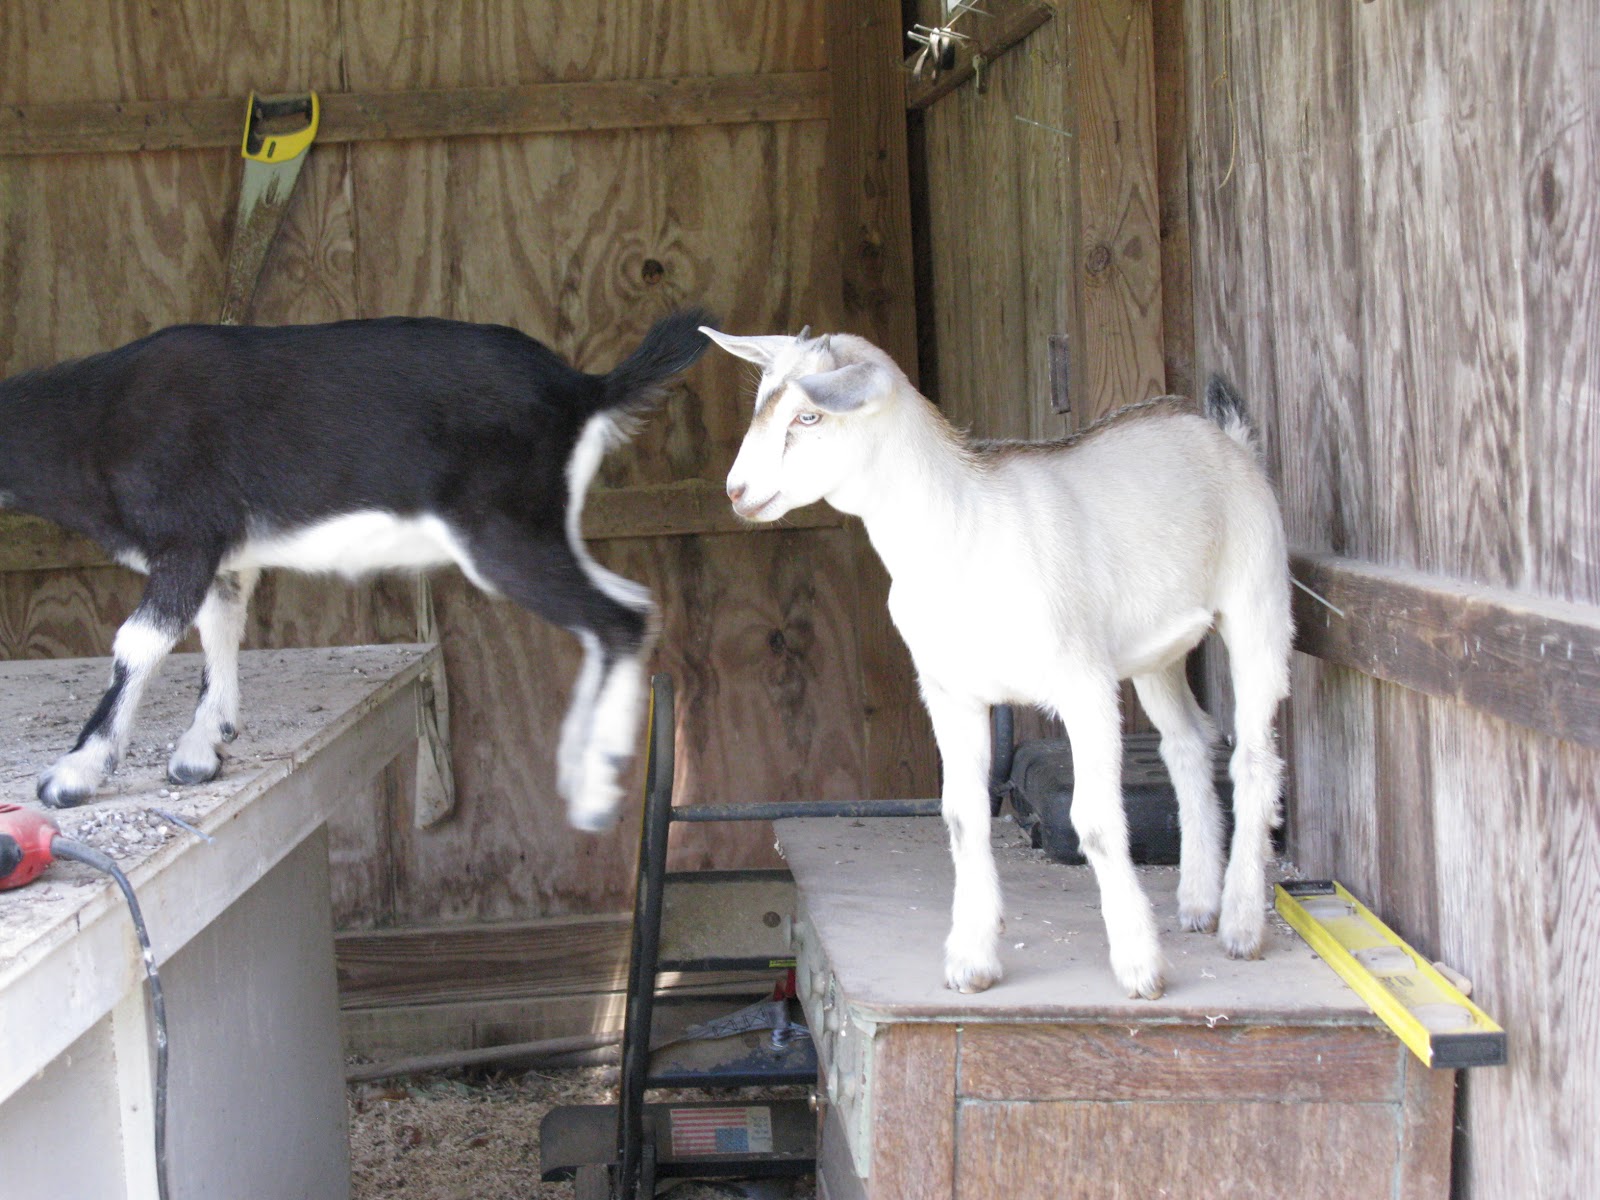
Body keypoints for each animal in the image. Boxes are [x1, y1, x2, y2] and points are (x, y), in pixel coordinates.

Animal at [0, 308, 712, 830]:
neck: (95, 421)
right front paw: (204, 747)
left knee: (619, 617)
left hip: (505, 534)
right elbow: (220, 628)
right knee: (628, 606)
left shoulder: (187, 539)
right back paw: (581, 760)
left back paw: (594, 790)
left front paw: (73, 774)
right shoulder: (224, 557)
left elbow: (137, 642)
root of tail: (585, 391)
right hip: (542, 529)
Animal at [703, 326, 1292, 998]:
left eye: (809, 415)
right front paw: (972, 960)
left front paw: (1140, 967)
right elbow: (963, 815)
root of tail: (1227, 439)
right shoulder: (950, 691)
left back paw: (1241, 925)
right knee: (1189, 742)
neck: (963, 528)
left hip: (1257, 603)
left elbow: (1093, 819)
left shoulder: (1083, 682)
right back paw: (1197, 901)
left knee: (1254, 756)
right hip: (1156, 653)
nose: (738, 492)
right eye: (761, 405)